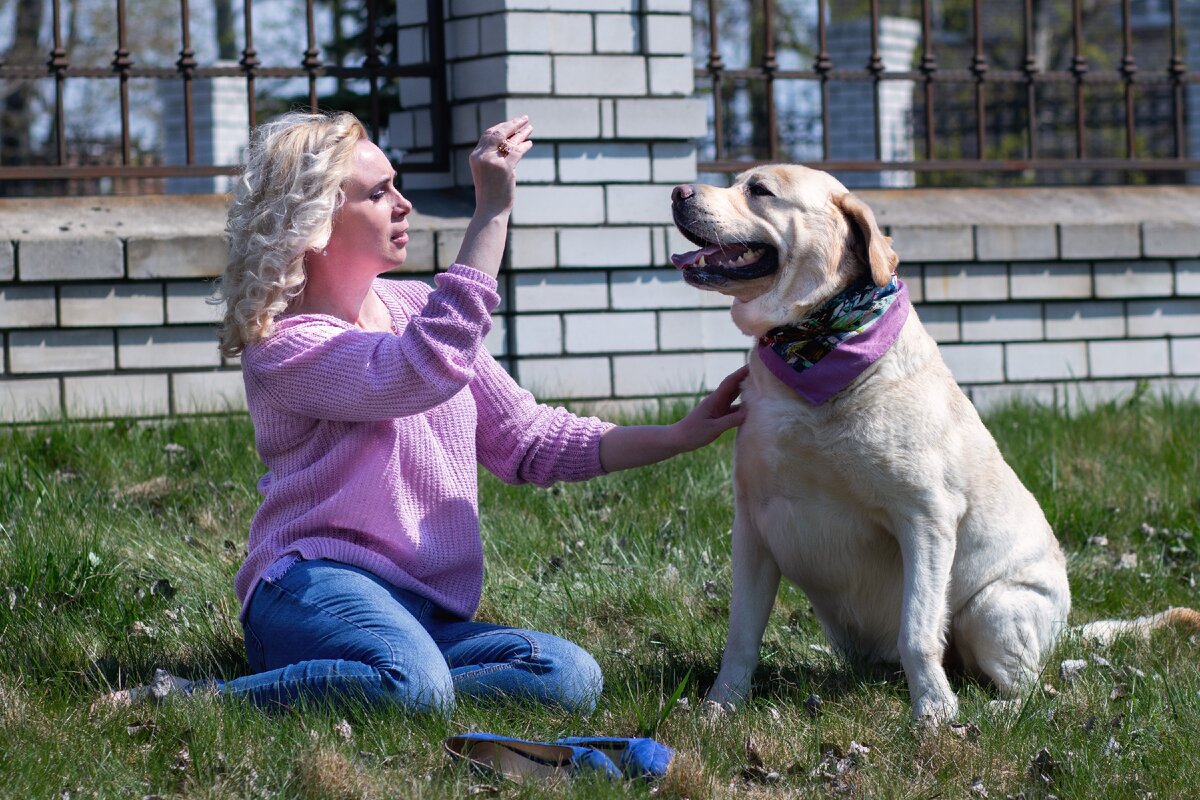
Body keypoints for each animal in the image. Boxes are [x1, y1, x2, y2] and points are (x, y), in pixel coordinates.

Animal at [672, 164, 1195, 724]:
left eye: (759, 190)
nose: (678, 191)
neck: (815, 348)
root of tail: (1062, 633)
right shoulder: (753, 524)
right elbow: (741, 636)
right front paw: (719, 707)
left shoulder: (926, 519)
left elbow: (918, 631)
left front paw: (935, 714)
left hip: (995, 609)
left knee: (1028, 688)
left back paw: (993, 712)